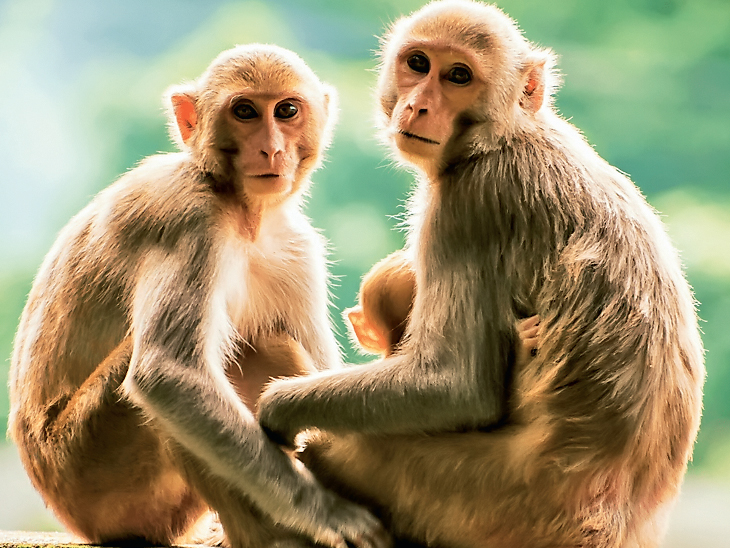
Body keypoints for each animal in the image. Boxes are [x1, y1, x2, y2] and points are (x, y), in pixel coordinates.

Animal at [8, 44, 388, 548]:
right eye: (244, 112)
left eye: (287, 111)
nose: (272, 148)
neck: (242, 212)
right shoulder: (187, 216)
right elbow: (166, 374)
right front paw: (325, 510)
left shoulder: (298, 249)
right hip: (90, 478)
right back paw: (269, 537)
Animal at [257, 2, 706, 547]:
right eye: (418, 64)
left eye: (458, 76)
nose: (418, 106)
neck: (505, 135)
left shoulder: (468, 206)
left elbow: (456, 385)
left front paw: (278, 408)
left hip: (477, 501)